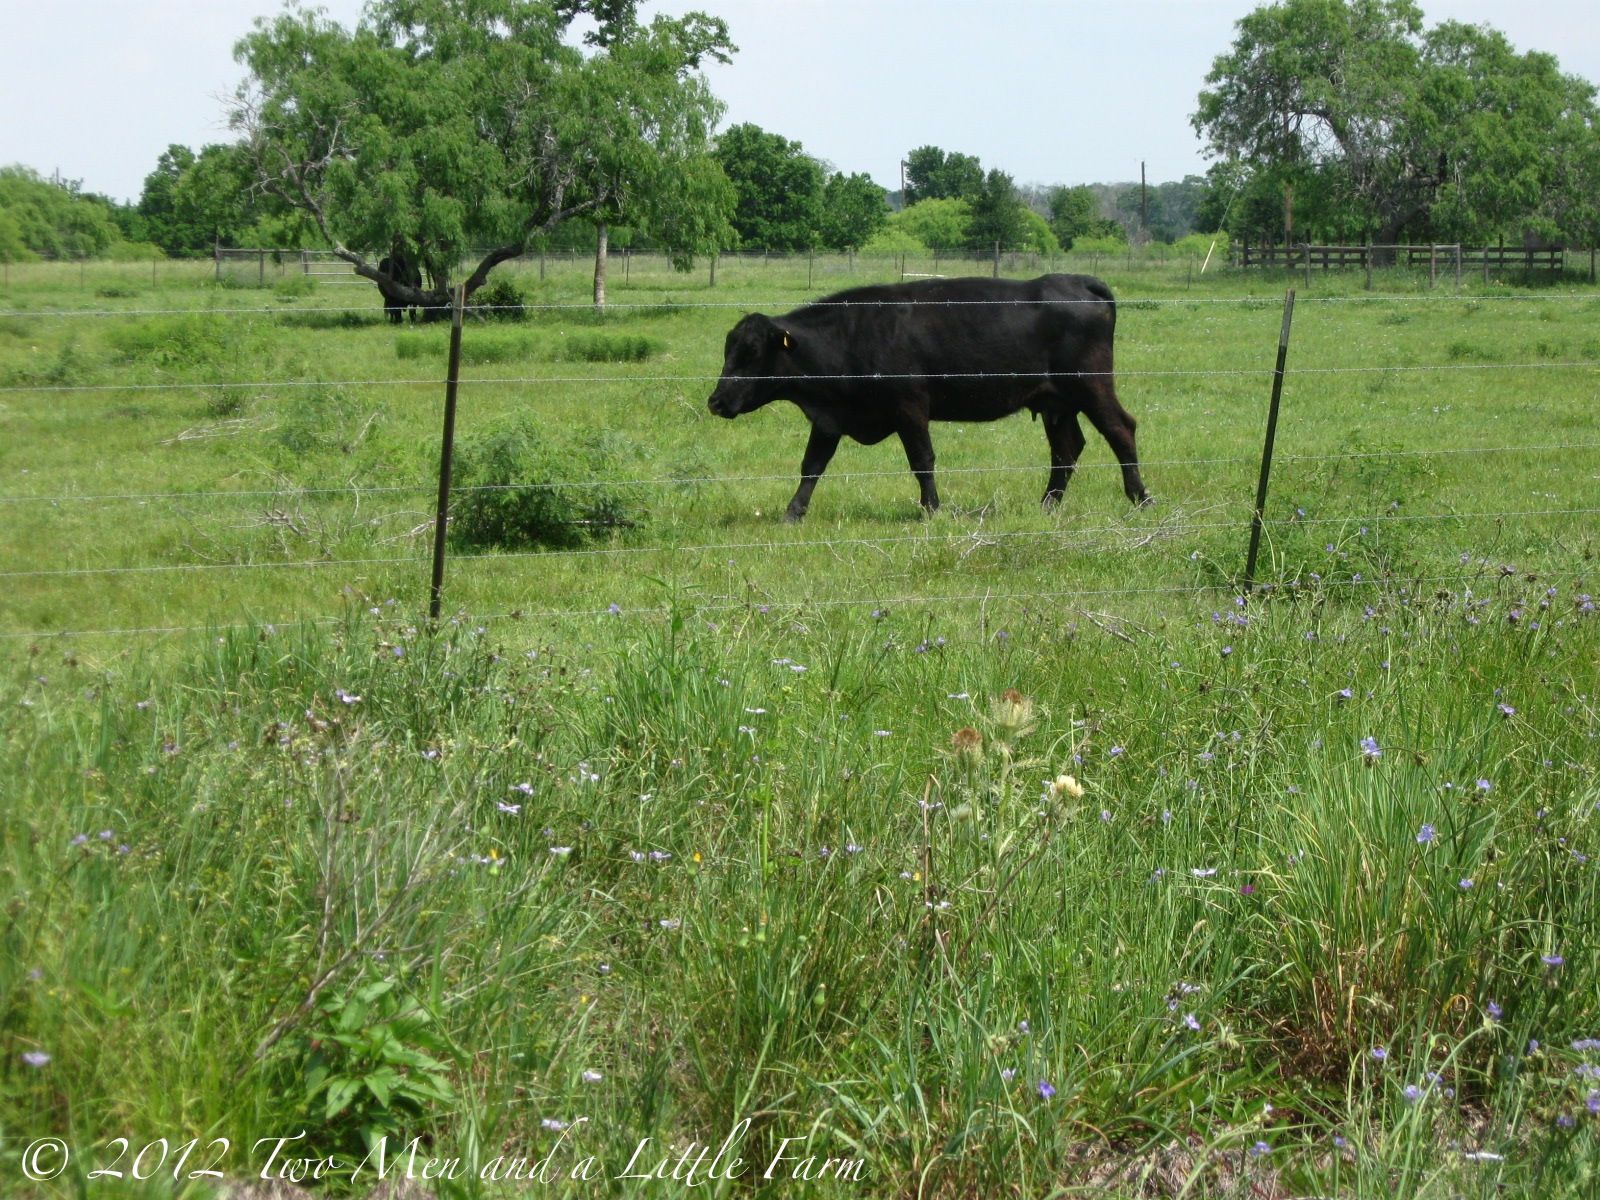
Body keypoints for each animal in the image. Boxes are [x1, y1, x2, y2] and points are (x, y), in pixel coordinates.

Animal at [706, 274, 1150, 521]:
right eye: (727, 350)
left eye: (751, 353)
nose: (715, 401)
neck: (849, 335)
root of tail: (1076, 280)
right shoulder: (830, 419)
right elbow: (811, 466)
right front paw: (792, 514)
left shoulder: (910, 407)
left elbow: (922, 461)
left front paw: (932, 511)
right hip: (1056, 402)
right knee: (1066, 449)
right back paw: (1047, 506)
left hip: (1091, 386)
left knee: (1121, 430)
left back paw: (1140, 498)